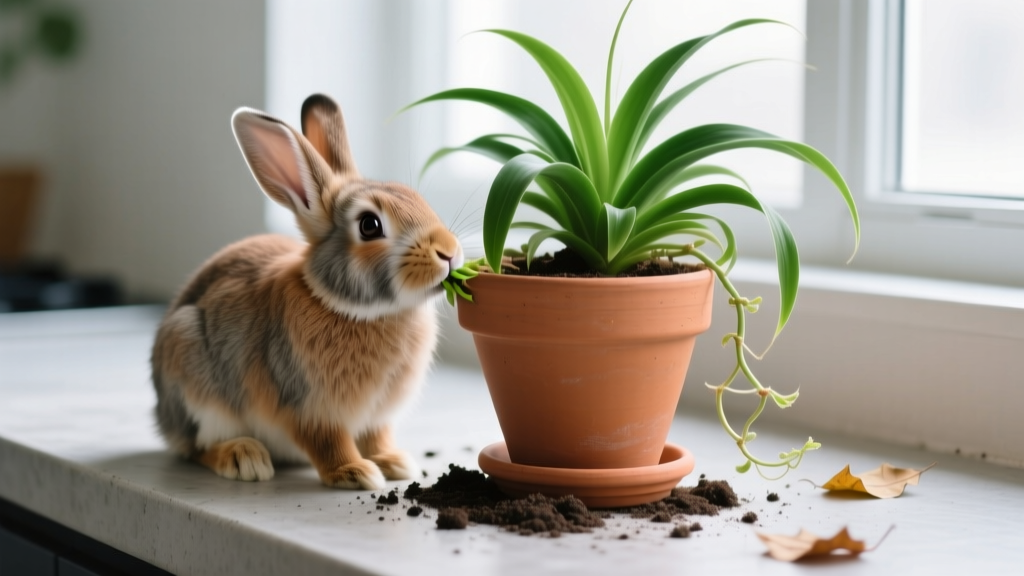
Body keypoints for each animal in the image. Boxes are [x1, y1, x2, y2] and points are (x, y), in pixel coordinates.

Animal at [150, 93, 463, 490]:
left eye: (417, 198)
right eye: (370, 225)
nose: (449, 252)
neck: (356, 310)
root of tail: (163, 418)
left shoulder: (376, 418)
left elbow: (377, 437)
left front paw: (394, 463)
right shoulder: (307, 406)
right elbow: (327, 442)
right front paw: (355, 473)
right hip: (194, 378)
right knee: (196, 448)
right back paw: (243, 458)